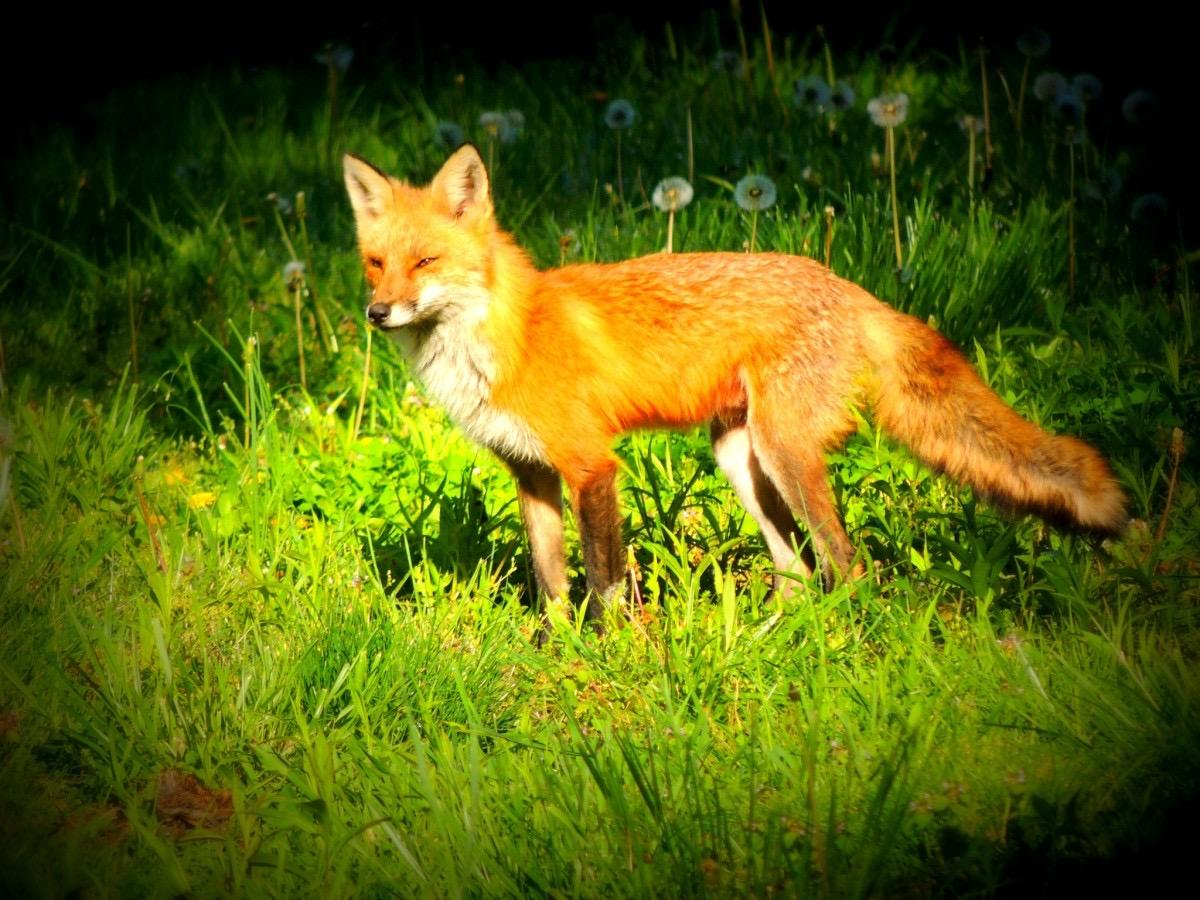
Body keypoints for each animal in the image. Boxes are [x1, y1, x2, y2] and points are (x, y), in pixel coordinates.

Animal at [343, 144, 1127, 626]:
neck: (502, 337)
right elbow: (552, 581)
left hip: (783, 455)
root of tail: (848, 287)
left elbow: (603, 581)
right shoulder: (531, 471)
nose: (378, 313)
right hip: (739, 458)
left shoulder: (592, 465)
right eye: (376, 264)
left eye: (426, 262)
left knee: (846, 567)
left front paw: (608, 653)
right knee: (798, 570)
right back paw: (766, 640)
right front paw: (554, 648)